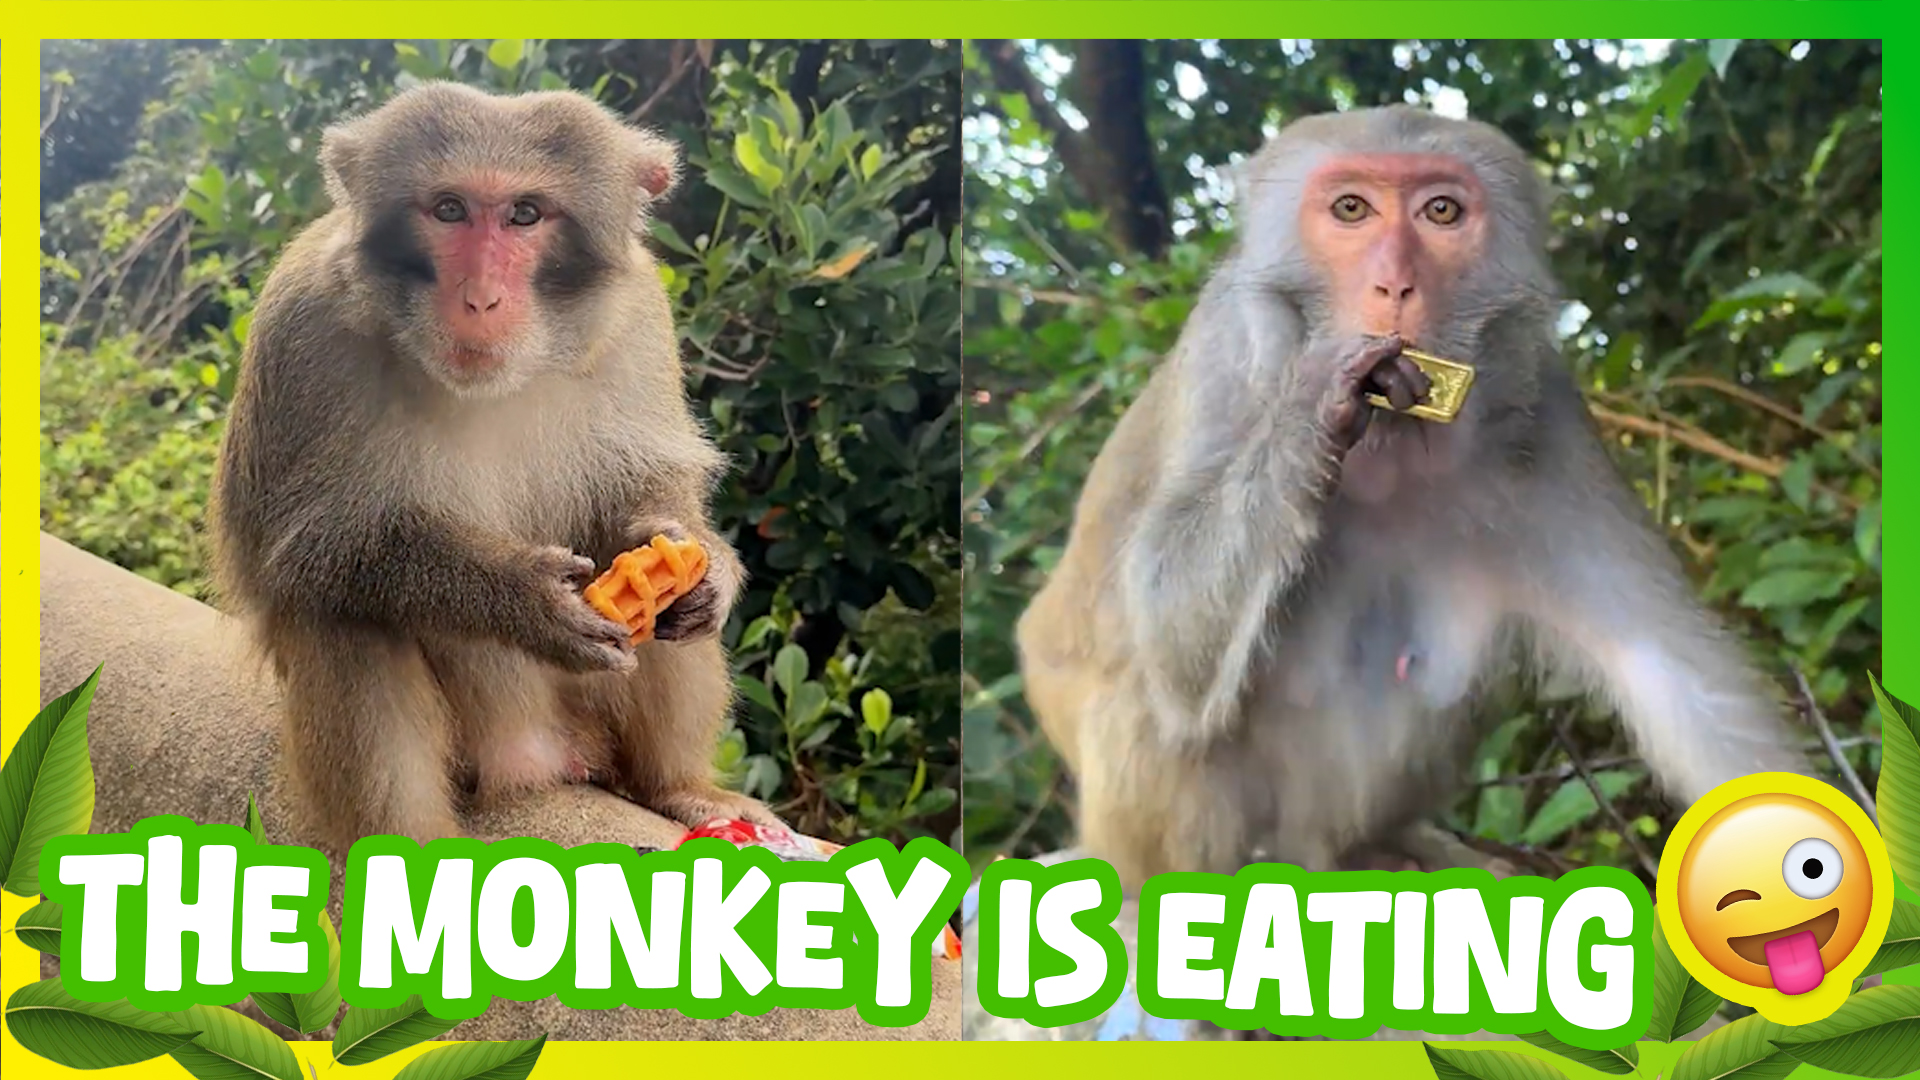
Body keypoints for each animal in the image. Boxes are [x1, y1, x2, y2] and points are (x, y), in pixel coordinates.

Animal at [209, 81, 779, 860]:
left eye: (525, 214)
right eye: (449, 209)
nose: (480, 296)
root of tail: (538, 758)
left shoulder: (639, 317)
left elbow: (647, 495)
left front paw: (710, 564)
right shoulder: (300, 326)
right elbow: (303, 550)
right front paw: (519, 597)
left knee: (667, 619)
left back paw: (678, 786)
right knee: (340, 614)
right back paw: (407, 848)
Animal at [1015, 105, 1810, 889]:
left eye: (1441, 211)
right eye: (1350, 209)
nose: (1395, 286)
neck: (1390, 445)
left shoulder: (1550, 421)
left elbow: (1673, 674)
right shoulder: (1227, 352)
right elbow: (1167, 632)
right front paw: (1315, 396)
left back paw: (1382, 847)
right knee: (1145, 697)